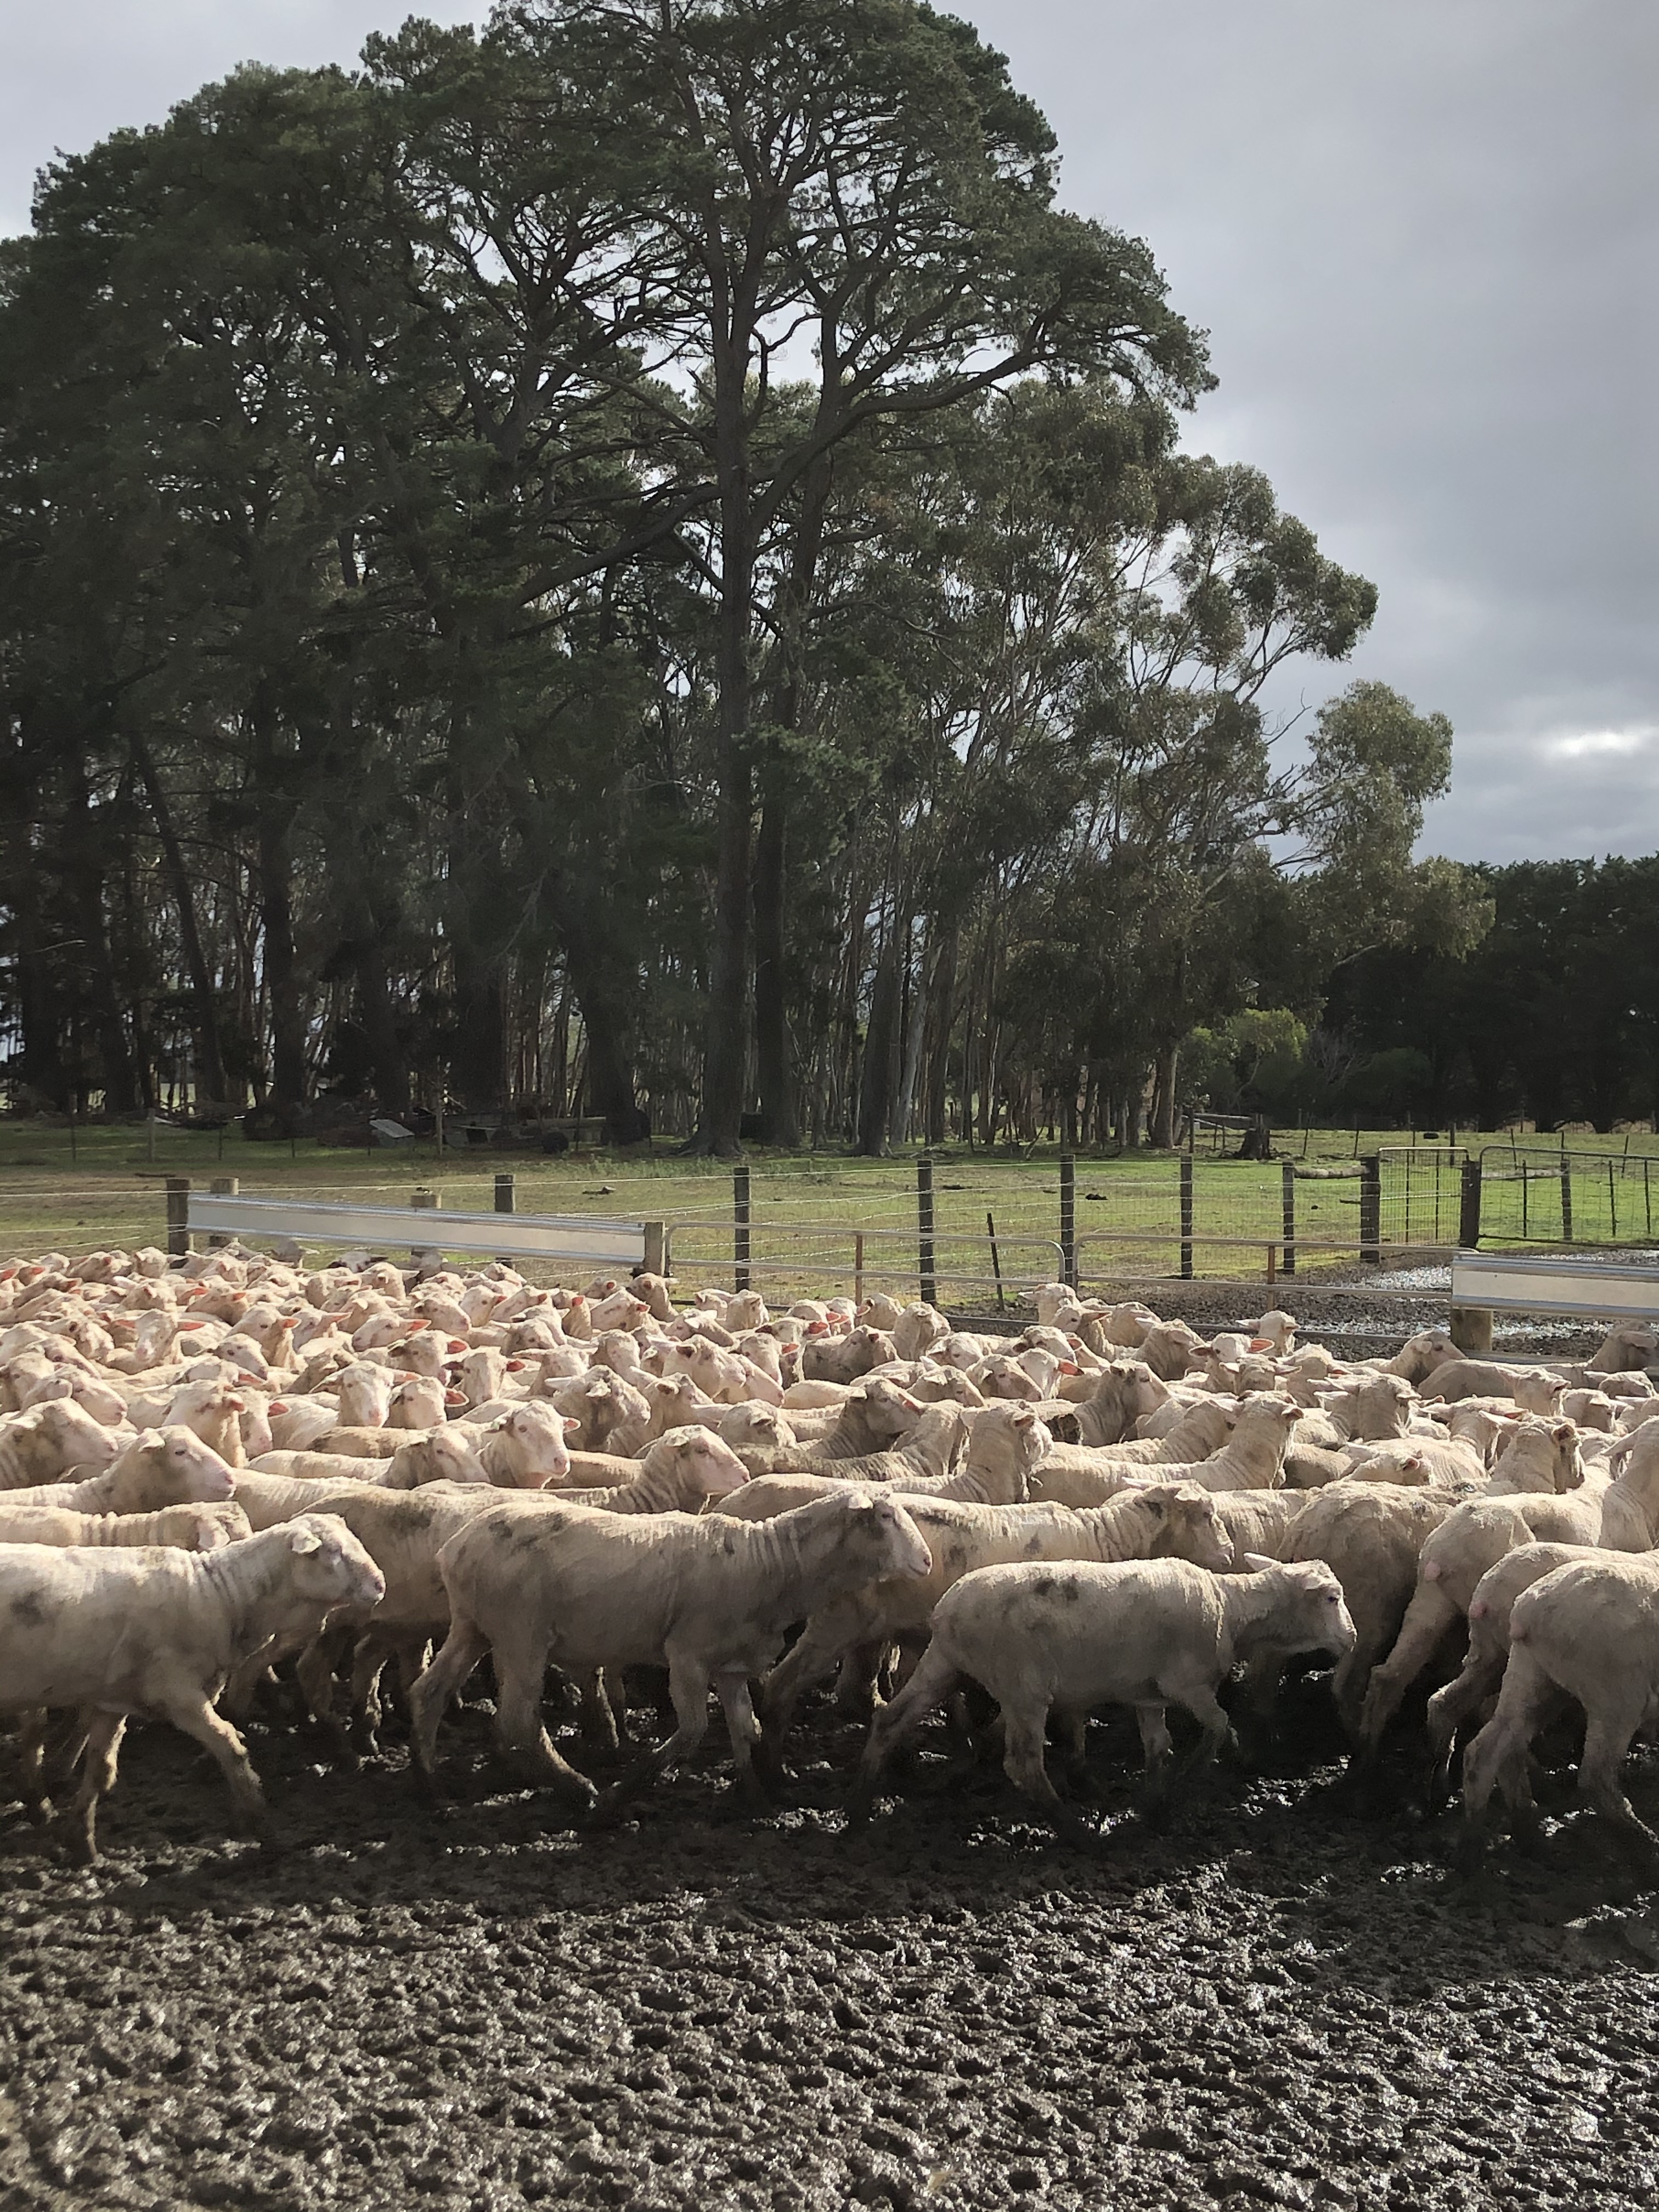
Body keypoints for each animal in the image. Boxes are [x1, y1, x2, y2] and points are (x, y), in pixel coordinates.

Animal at [846, 1558, 1355, 1841]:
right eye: (1332, 1598)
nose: (1352, 1639)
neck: (1232, 1609)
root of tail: (947, 1610)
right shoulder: (1187, 1685)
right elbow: (1218, 1726)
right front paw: (1189, 1780)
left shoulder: (1150, 1696)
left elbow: (1159, 1748)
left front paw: (1157, 1805)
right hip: (1022, 1687)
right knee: (1023, 1764)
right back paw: (1074, 1831)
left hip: (945, 1662)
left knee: (890, 1721)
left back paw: (859, 1810)